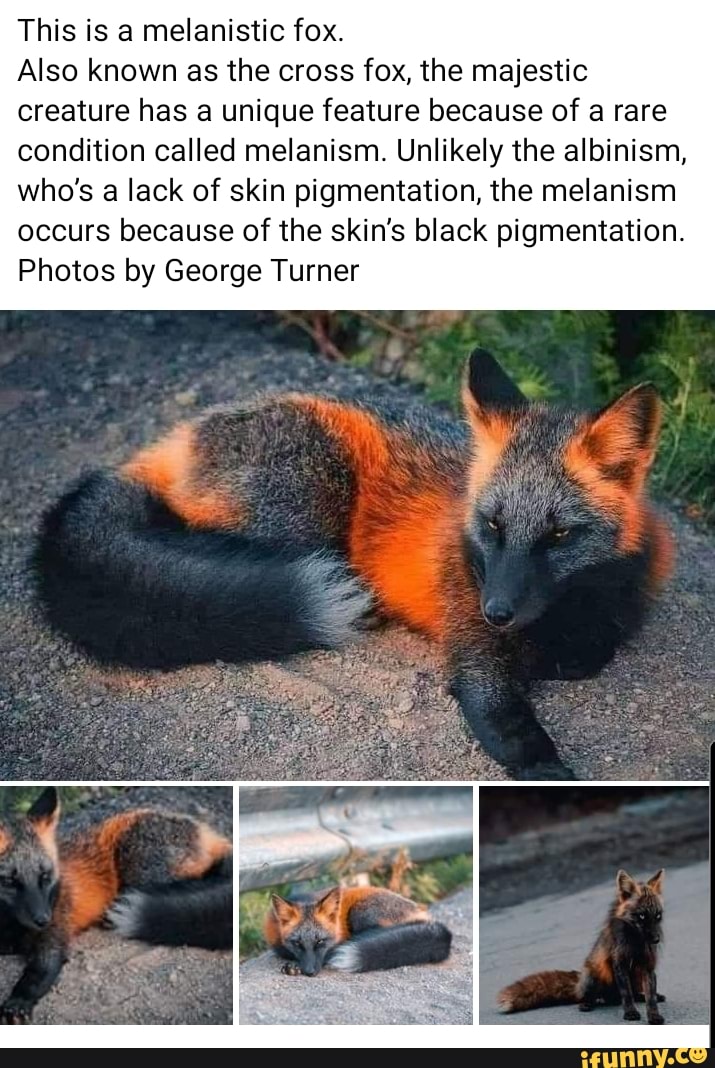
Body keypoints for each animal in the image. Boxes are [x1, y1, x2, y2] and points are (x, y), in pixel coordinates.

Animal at [0, 787, 232, 1024]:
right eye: (10, 881)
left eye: (45, 876)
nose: (43, 919)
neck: (9, 928)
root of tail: (202, 829)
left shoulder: (54, 937)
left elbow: (36, 976)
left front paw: (18, 1002)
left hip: (141, 868)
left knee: (211, 878)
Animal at [35, 347, 674, 780]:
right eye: (492, 525)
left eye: (559, 534)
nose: (497, 611)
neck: (568, 608)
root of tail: (181, 434)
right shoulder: (472, 646)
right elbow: (510, 725)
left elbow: (593, 650)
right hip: (311, 503)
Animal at [497, 868, 666, 1024]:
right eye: (642, 916)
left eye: (658, 916)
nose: (656, 939)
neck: (635, 943)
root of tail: (578, 982)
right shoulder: (620, 964)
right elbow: (627, 994)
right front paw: (630, 1013)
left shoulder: (648, 966)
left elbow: (650, 997)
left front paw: (653, 1015)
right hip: (594, 976)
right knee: (589, 998)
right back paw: (587, 1004)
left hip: (636, 977)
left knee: (635, 994)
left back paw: (645, 996)